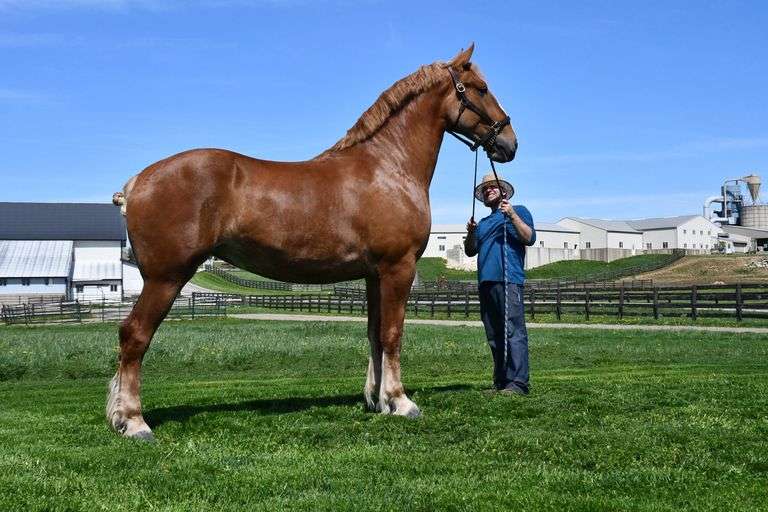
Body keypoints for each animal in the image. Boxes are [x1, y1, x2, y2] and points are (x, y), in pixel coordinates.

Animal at [107, 44, 517, 440]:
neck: (388, 167)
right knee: (134, 336)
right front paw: (400, 401)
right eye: (481, 88)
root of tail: (137, 182)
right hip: (166, 278)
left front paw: (376, 400)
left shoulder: (373, 275)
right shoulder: (398, 267)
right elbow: (393, 333)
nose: (510, 143)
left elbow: (374, 334)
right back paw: (134, 422)